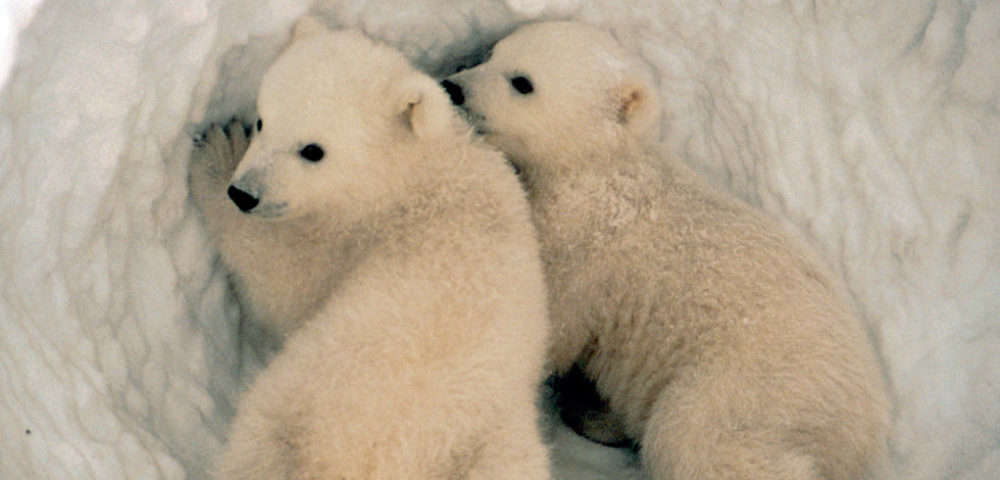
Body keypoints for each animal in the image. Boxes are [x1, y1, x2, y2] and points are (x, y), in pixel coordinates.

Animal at [189, 19, 552, 480]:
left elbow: (281, 282)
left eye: (313, 150)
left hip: (290, 409)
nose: (243, 193)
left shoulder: (346, 238)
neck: (414, 174)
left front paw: (217, 150)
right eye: (262, 120)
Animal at [442, 20, 891, 480]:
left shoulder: (584, 244)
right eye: (492, 53)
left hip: (755, 383)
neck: (601, 167)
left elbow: (552, 322)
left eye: (522, 82)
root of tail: (864, 423)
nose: (453, 87)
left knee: (700, 439)